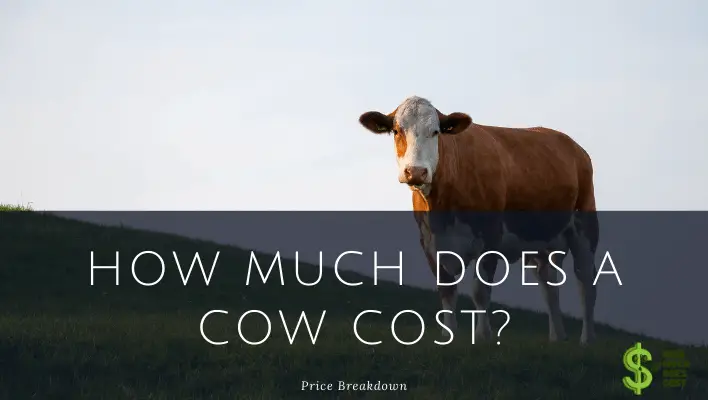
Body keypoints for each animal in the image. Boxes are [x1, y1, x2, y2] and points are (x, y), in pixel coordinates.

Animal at [358, 96, 599, 344]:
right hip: (542, 242)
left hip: (584, 226)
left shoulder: (490, 236)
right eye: (397, 131)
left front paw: (482, 335)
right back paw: (557, 337)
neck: (442, 212)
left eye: (435, 132)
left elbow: (480, 291)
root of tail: (573, 145)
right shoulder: (429, 242)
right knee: (549, 286)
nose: (415, 172)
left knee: (586, 282)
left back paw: (587, 339)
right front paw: (449, 334)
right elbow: (446, 291)